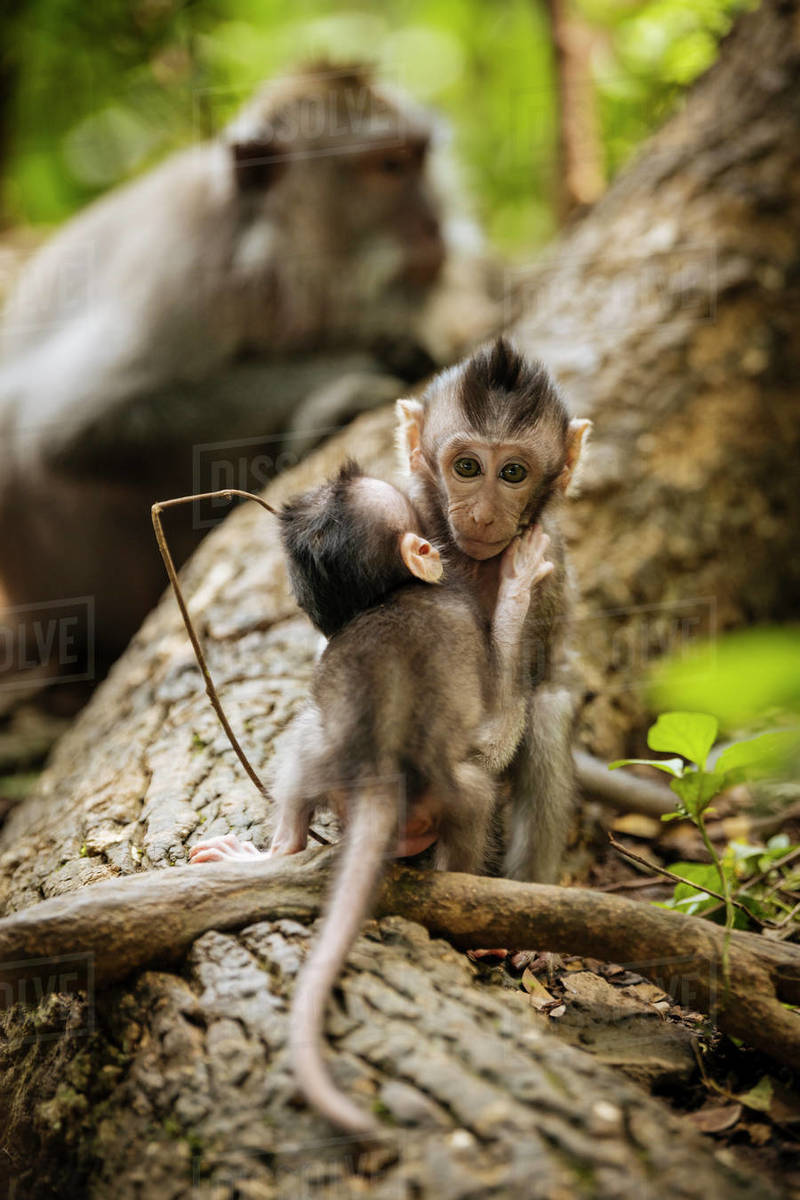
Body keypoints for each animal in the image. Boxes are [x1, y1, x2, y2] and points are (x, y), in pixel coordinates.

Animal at [0, 61, 497, 682]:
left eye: (420, 157)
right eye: (387, 167)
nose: (433, 222)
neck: (271, 259)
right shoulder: (185, 273)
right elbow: (75, 430)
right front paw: (355, 374)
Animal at [395, 336, 593, 886]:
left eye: (512, 473)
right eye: (466, 467)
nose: (483, 515)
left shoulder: (548, 571)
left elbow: (500, 725)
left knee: (545, 712)